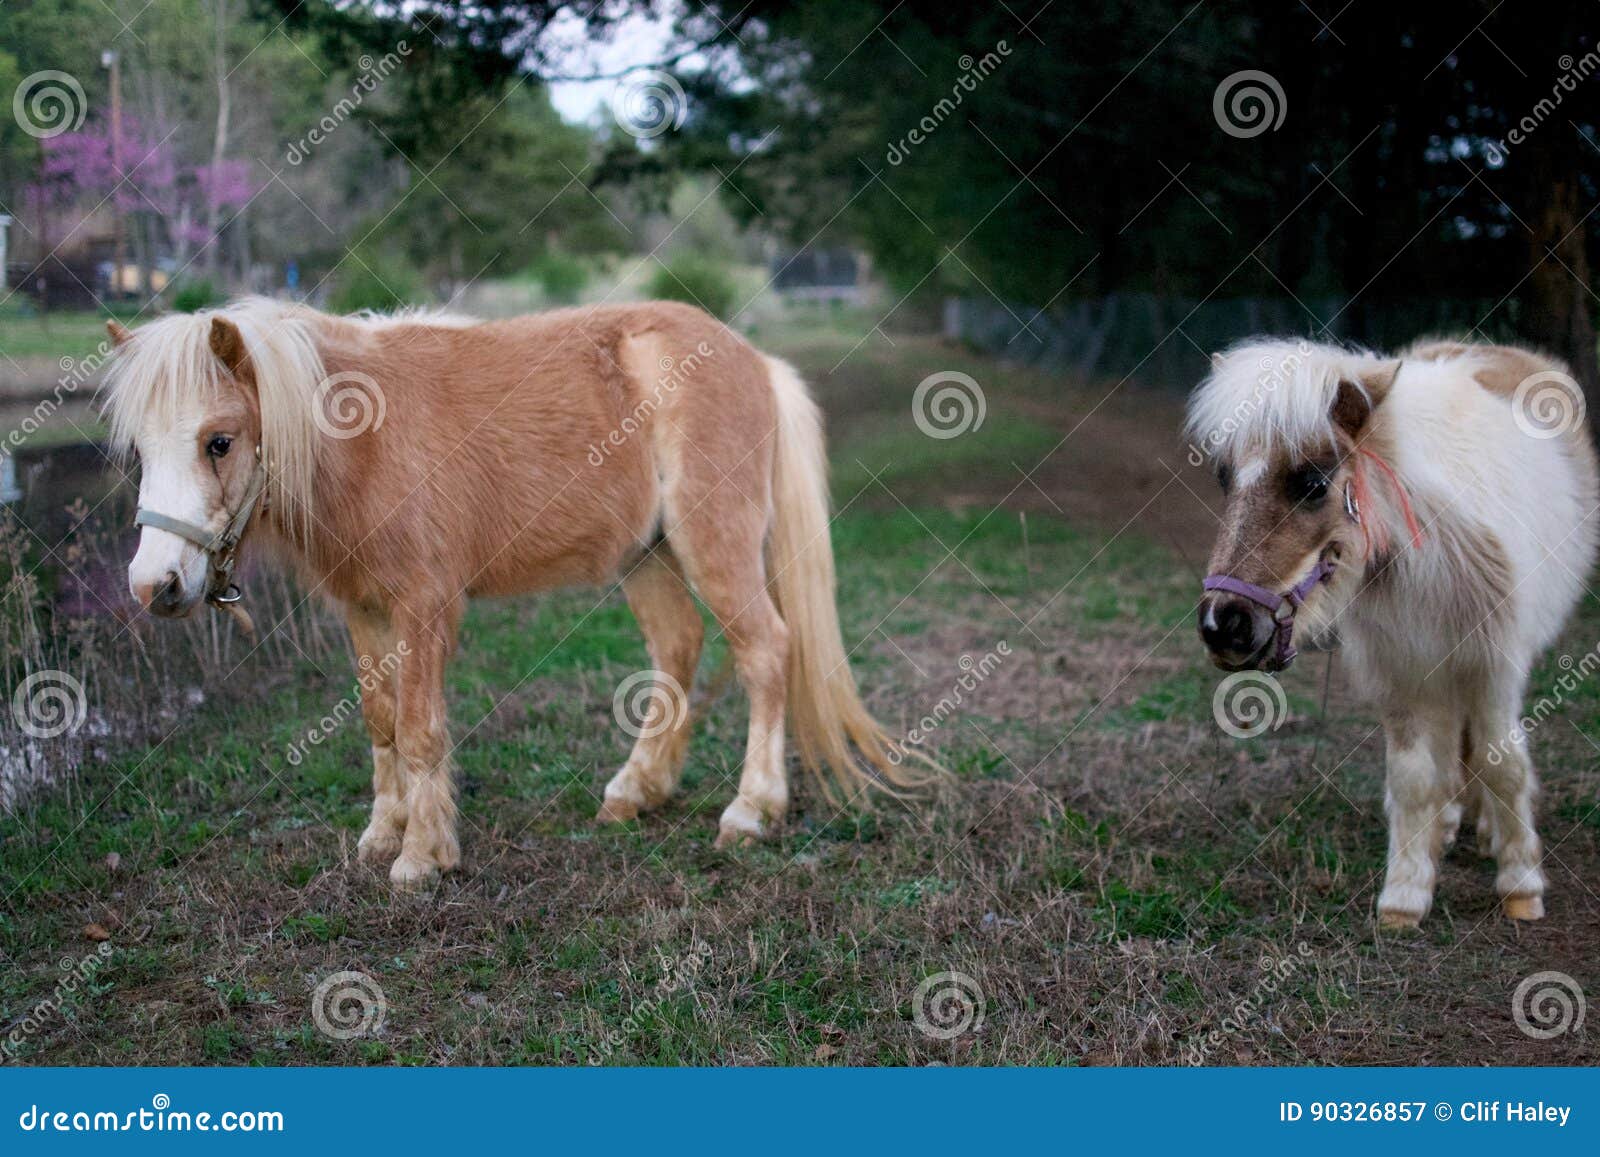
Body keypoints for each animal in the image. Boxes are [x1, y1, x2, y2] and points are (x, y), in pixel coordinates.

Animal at [102, 297, 938, 886]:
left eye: (219, 440)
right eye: (140, 448)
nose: (154, 585)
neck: (364, 437)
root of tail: (753, 359)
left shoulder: (425, 605)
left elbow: (419, 729)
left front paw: (423, 855)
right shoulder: (364, 611)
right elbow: (380, 723)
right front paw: (381, 834)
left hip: (715, 549)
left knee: (766, 652)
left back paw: (751, 808)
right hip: (648, 558)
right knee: (678, 648)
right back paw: (636, 790)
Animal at [1188, 337, 1597, 927]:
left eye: (1313, 483)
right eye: (1224, 478)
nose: (1224, 625)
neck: (1427, 548)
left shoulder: (1494, 667)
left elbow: (1505, 766)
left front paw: (1521, 886)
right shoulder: (1402, 674)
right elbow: (1413, 777)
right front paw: (1405, 893)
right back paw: (1446, 825)